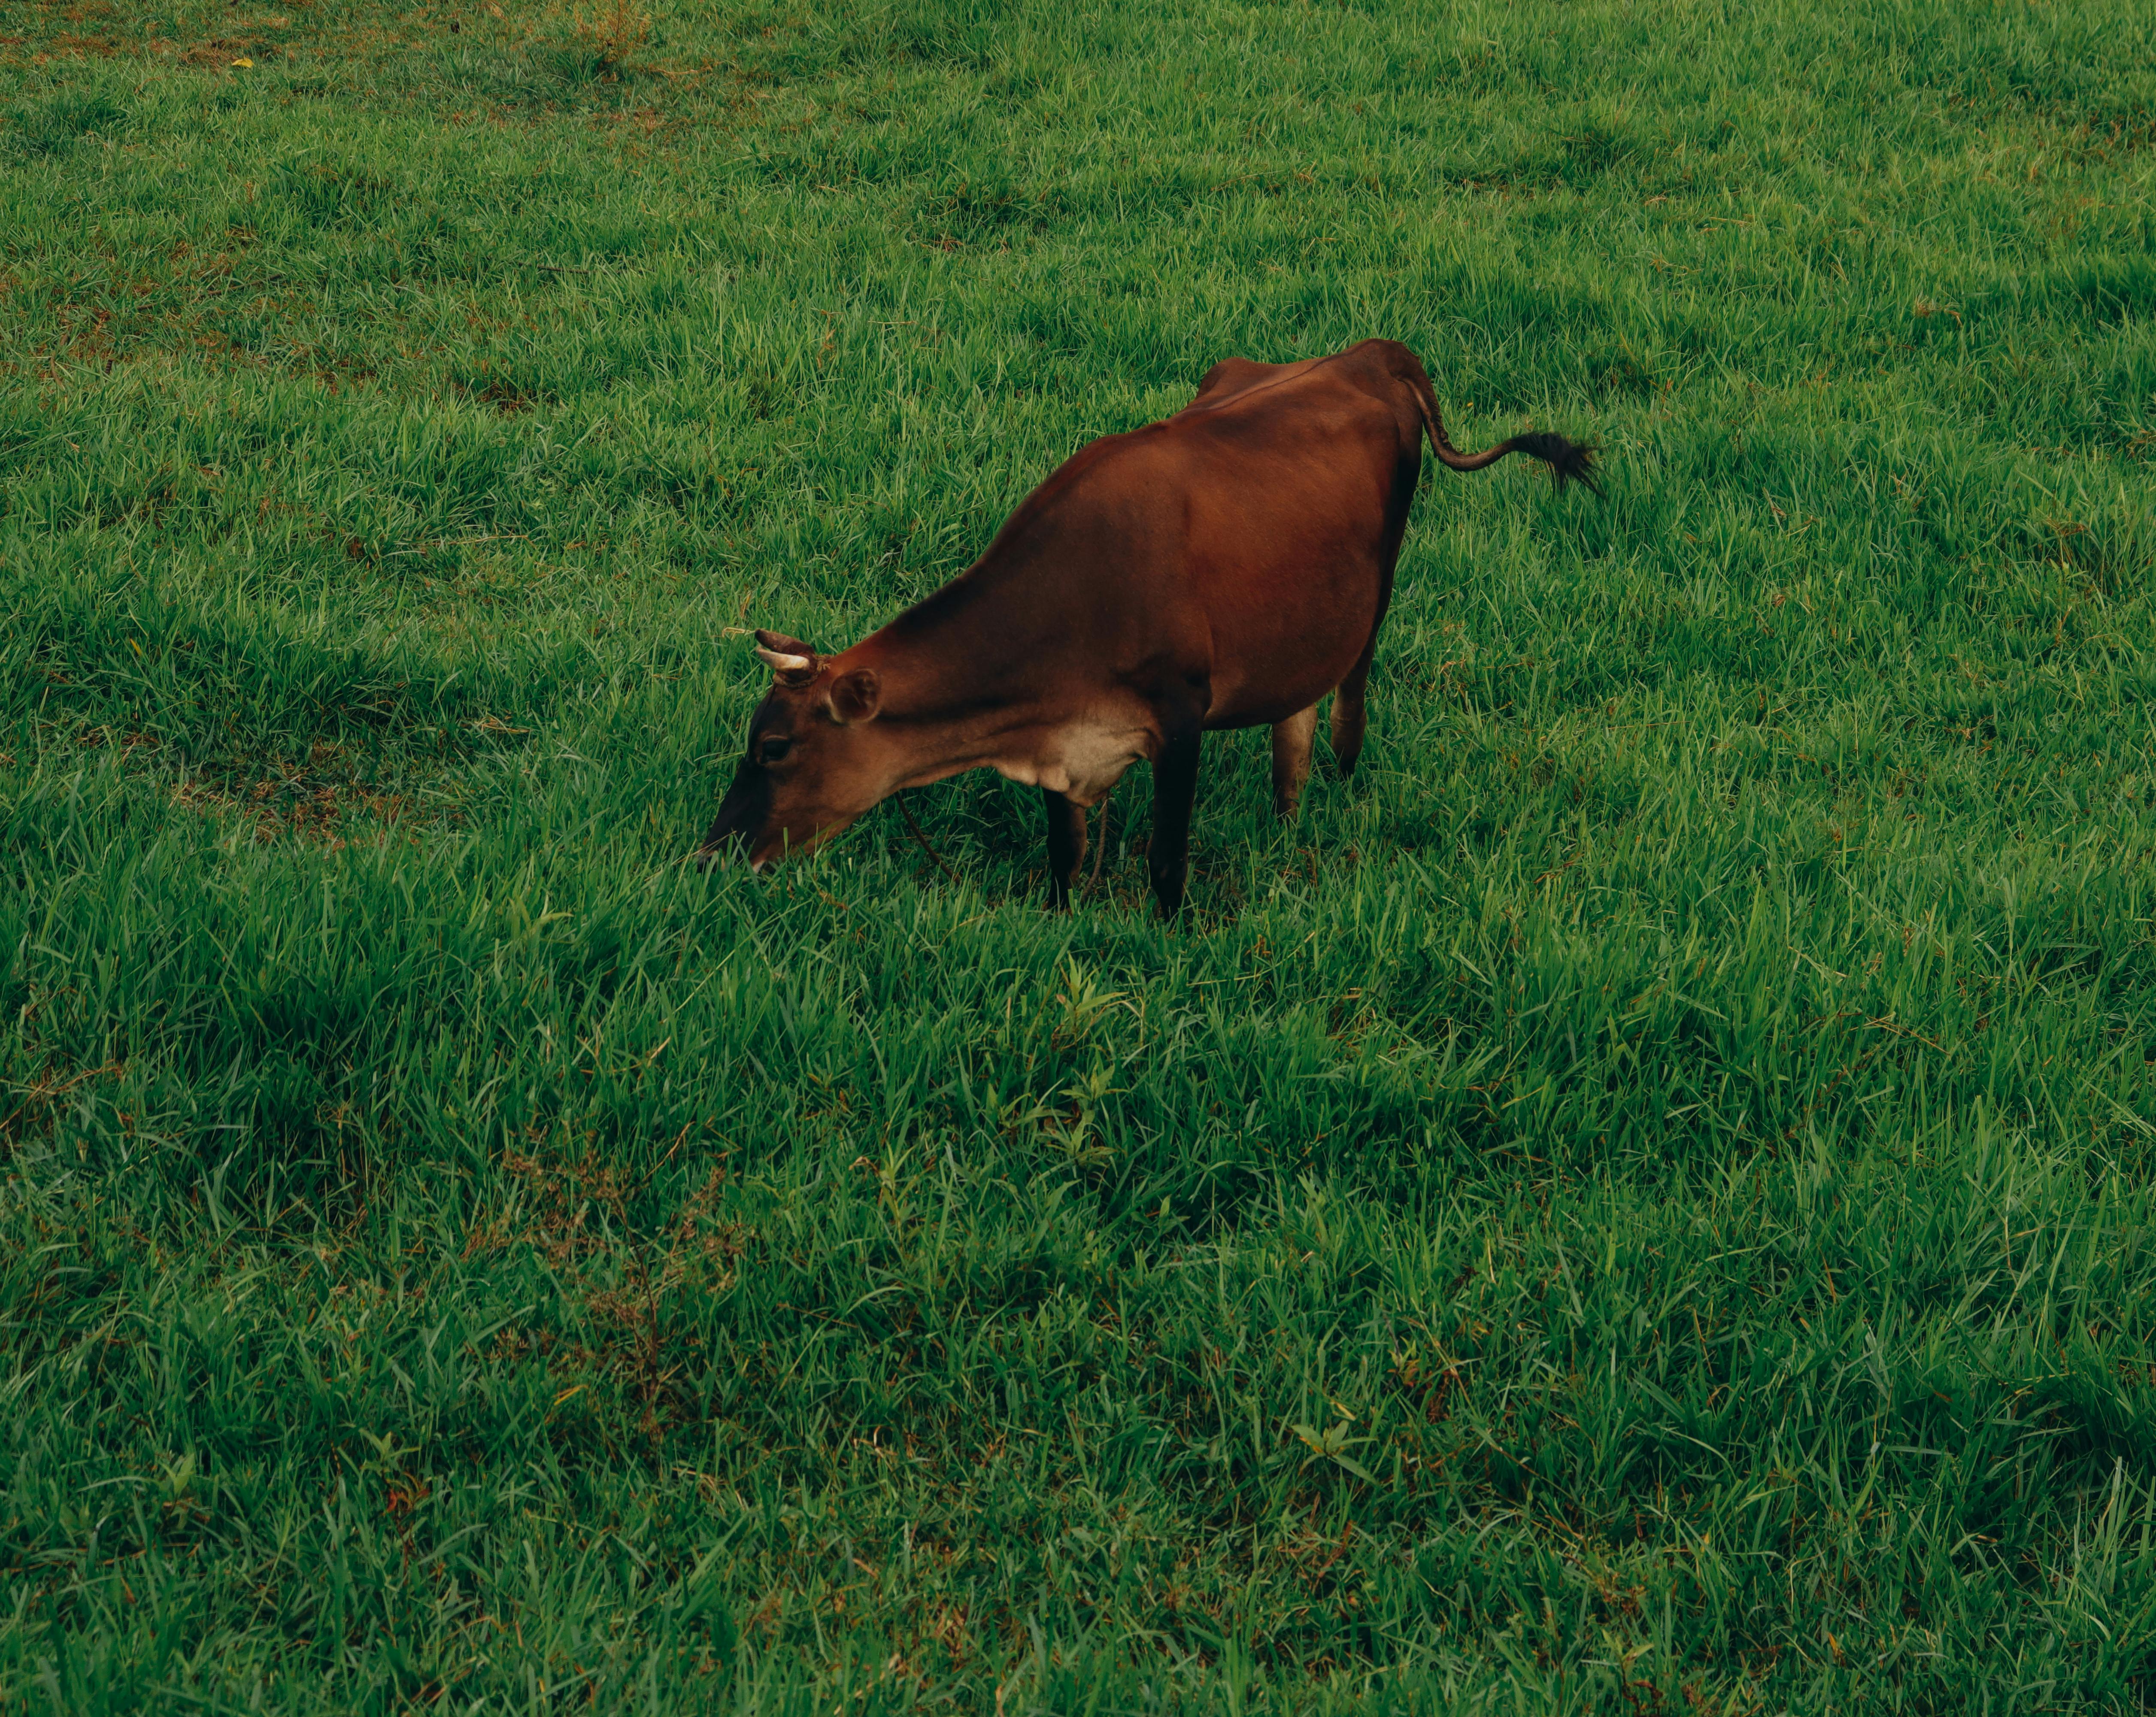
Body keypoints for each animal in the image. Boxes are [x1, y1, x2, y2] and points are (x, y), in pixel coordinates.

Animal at [695, 338, 1596, 916]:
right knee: (1292, 735)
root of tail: (1368, 353)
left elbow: (1166, 861)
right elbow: (1064, 858)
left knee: (1349, 708)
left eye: (773, 748)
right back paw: (1284, 822)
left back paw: (1338, 795)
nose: (711, 854)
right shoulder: (1059, 739)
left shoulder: (1181, 714)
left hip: (1373, 602)